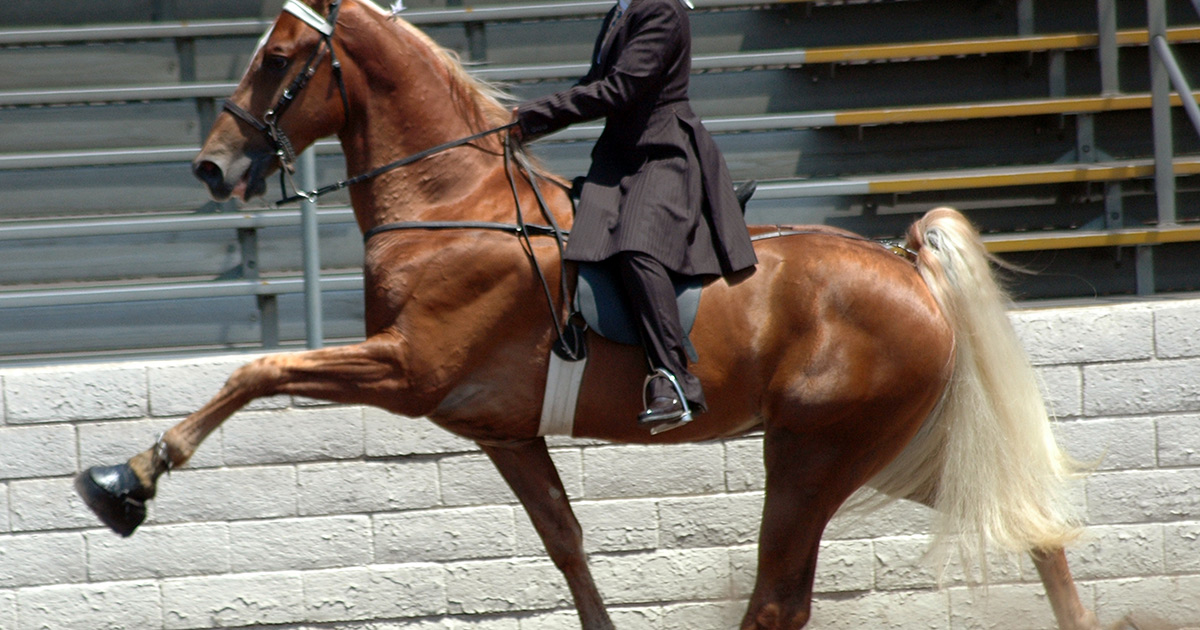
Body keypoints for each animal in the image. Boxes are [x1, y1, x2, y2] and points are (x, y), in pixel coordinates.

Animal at [74, 1, 1101, 628]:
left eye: (280, 59)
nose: (211, 167)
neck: (449, 200)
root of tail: (906, 267)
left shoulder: (405, 368)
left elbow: (257, 371)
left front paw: (127, 480)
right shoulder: (502, 430)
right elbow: (567, 548)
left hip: (814, 456)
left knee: (779, 599)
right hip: (890, 449)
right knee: (1033, 529)